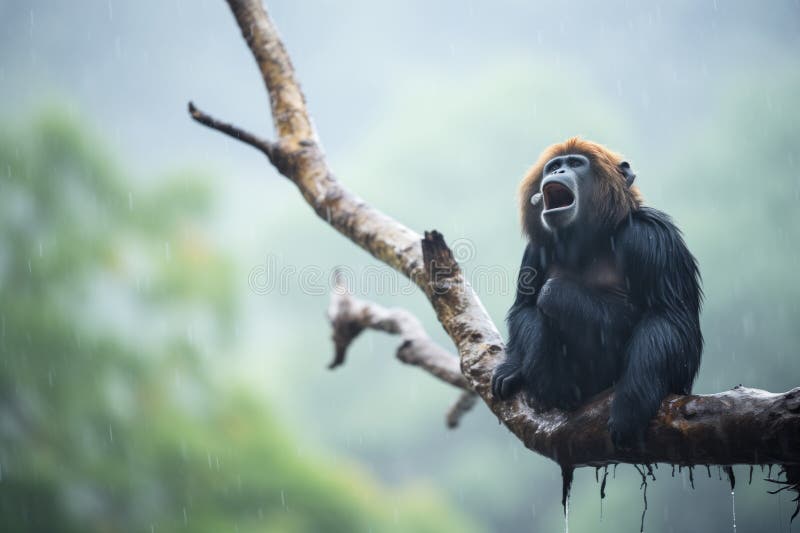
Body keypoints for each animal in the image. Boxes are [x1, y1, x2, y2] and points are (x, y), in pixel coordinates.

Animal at [491, 137, 703, 447]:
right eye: (554, 166)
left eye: (575, 164)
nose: (558, 172)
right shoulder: (536, 249)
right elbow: (524, 307)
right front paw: (514, 366)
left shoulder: (651, 237)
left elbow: (668, 318)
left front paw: (630, 406)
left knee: (555, 295)